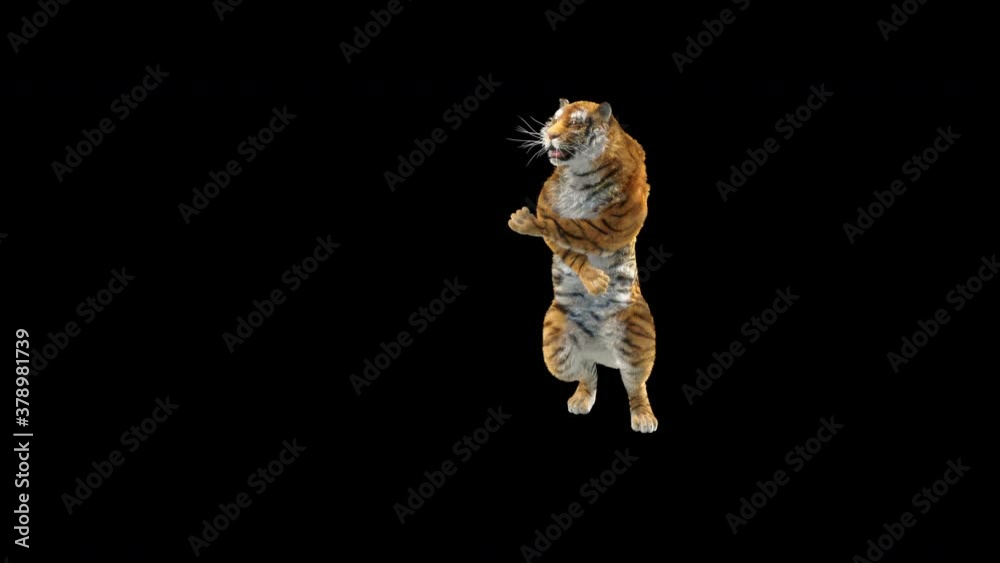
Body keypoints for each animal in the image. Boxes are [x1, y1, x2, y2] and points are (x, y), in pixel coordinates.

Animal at [508, 98, 658, 433]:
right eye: (552, 119)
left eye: (575, 123)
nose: (548, 134)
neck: (579, 174)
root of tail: (600, 349)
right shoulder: (548, 203)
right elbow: (565, 241)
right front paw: (594, 279)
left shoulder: (619, 218)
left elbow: (571, 229)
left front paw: (524, 222)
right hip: (555, 346)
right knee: (587, 372)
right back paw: (580, 400)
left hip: (637, 339)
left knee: (635, 385)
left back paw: (643, 417)